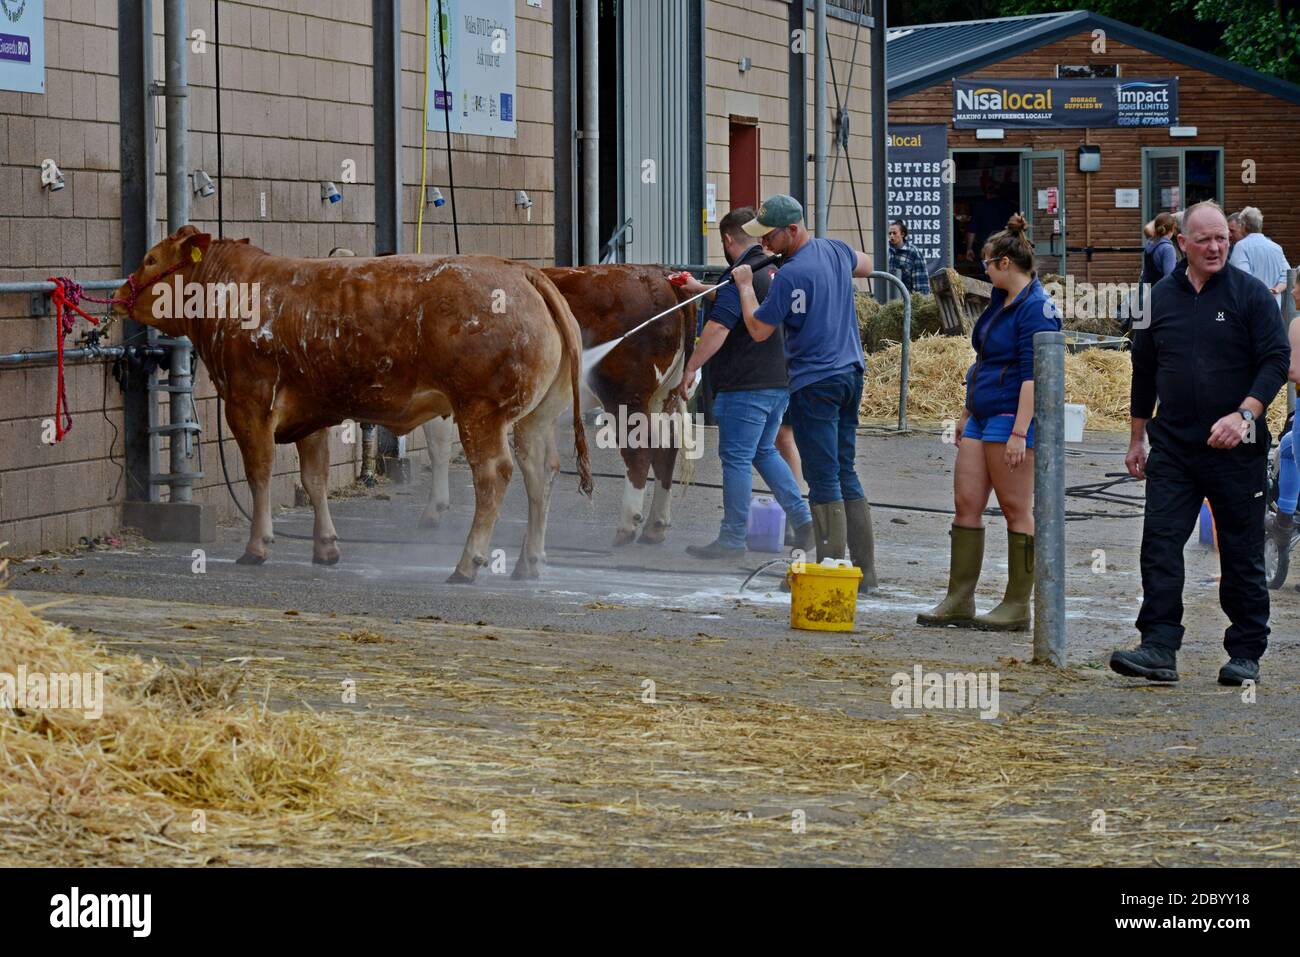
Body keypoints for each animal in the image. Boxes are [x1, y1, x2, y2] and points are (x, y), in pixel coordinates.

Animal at [114, 225, 591, 583]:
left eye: (151, 260)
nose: (118, 296)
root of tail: (522, 273)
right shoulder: (310, 414)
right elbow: (315, 479)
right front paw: (325, 547)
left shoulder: (248, 405)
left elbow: (259, 474)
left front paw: (257, 545)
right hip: (535, 417)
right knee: (540, 471)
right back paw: (529, 563)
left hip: (480, 412)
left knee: (494, 475)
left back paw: (467, 563)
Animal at [419, 264, 699, 546]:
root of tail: (659, 272)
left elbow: (437, 445)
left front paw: (433, 509)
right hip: (663, 395)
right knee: (666, 447)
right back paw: (655, 526)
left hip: (625, 394)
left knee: (639, 450)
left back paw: (627, 526)